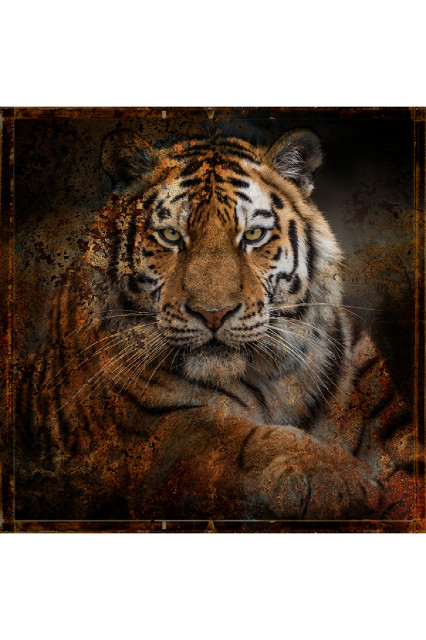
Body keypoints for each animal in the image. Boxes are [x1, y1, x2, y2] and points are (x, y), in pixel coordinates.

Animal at [15, 127, 422, 522]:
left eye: (253, 235)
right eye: (171, 235)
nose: (213, 313)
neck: (272, 379)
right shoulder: (148, 430)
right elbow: (232, 438)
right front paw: (340, 479)